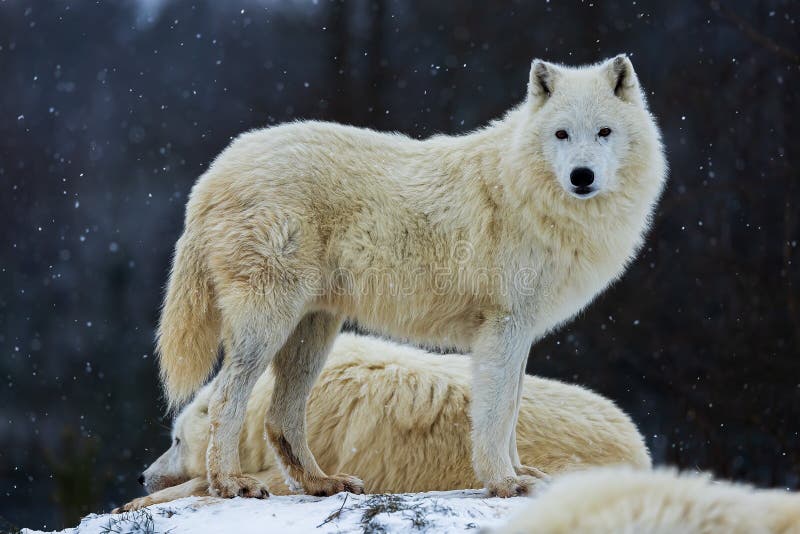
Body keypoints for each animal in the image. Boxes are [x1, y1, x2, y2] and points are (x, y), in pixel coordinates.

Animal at [157, 54, 666, 498]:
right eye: (561, 134)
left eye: (604, 132)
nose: (582, 176)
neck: (522, 191)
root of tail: (212, 175)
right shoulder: (503, 325)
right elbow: (497, 414)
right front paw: (504, 482)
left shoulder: (519, 332)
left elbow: (513, 410)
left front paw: (521, 474)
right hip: (268, 325)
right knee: (226, 399)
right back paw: (231, 483)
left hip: (313, 333)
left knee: (279, 419)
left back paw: (323, 483)